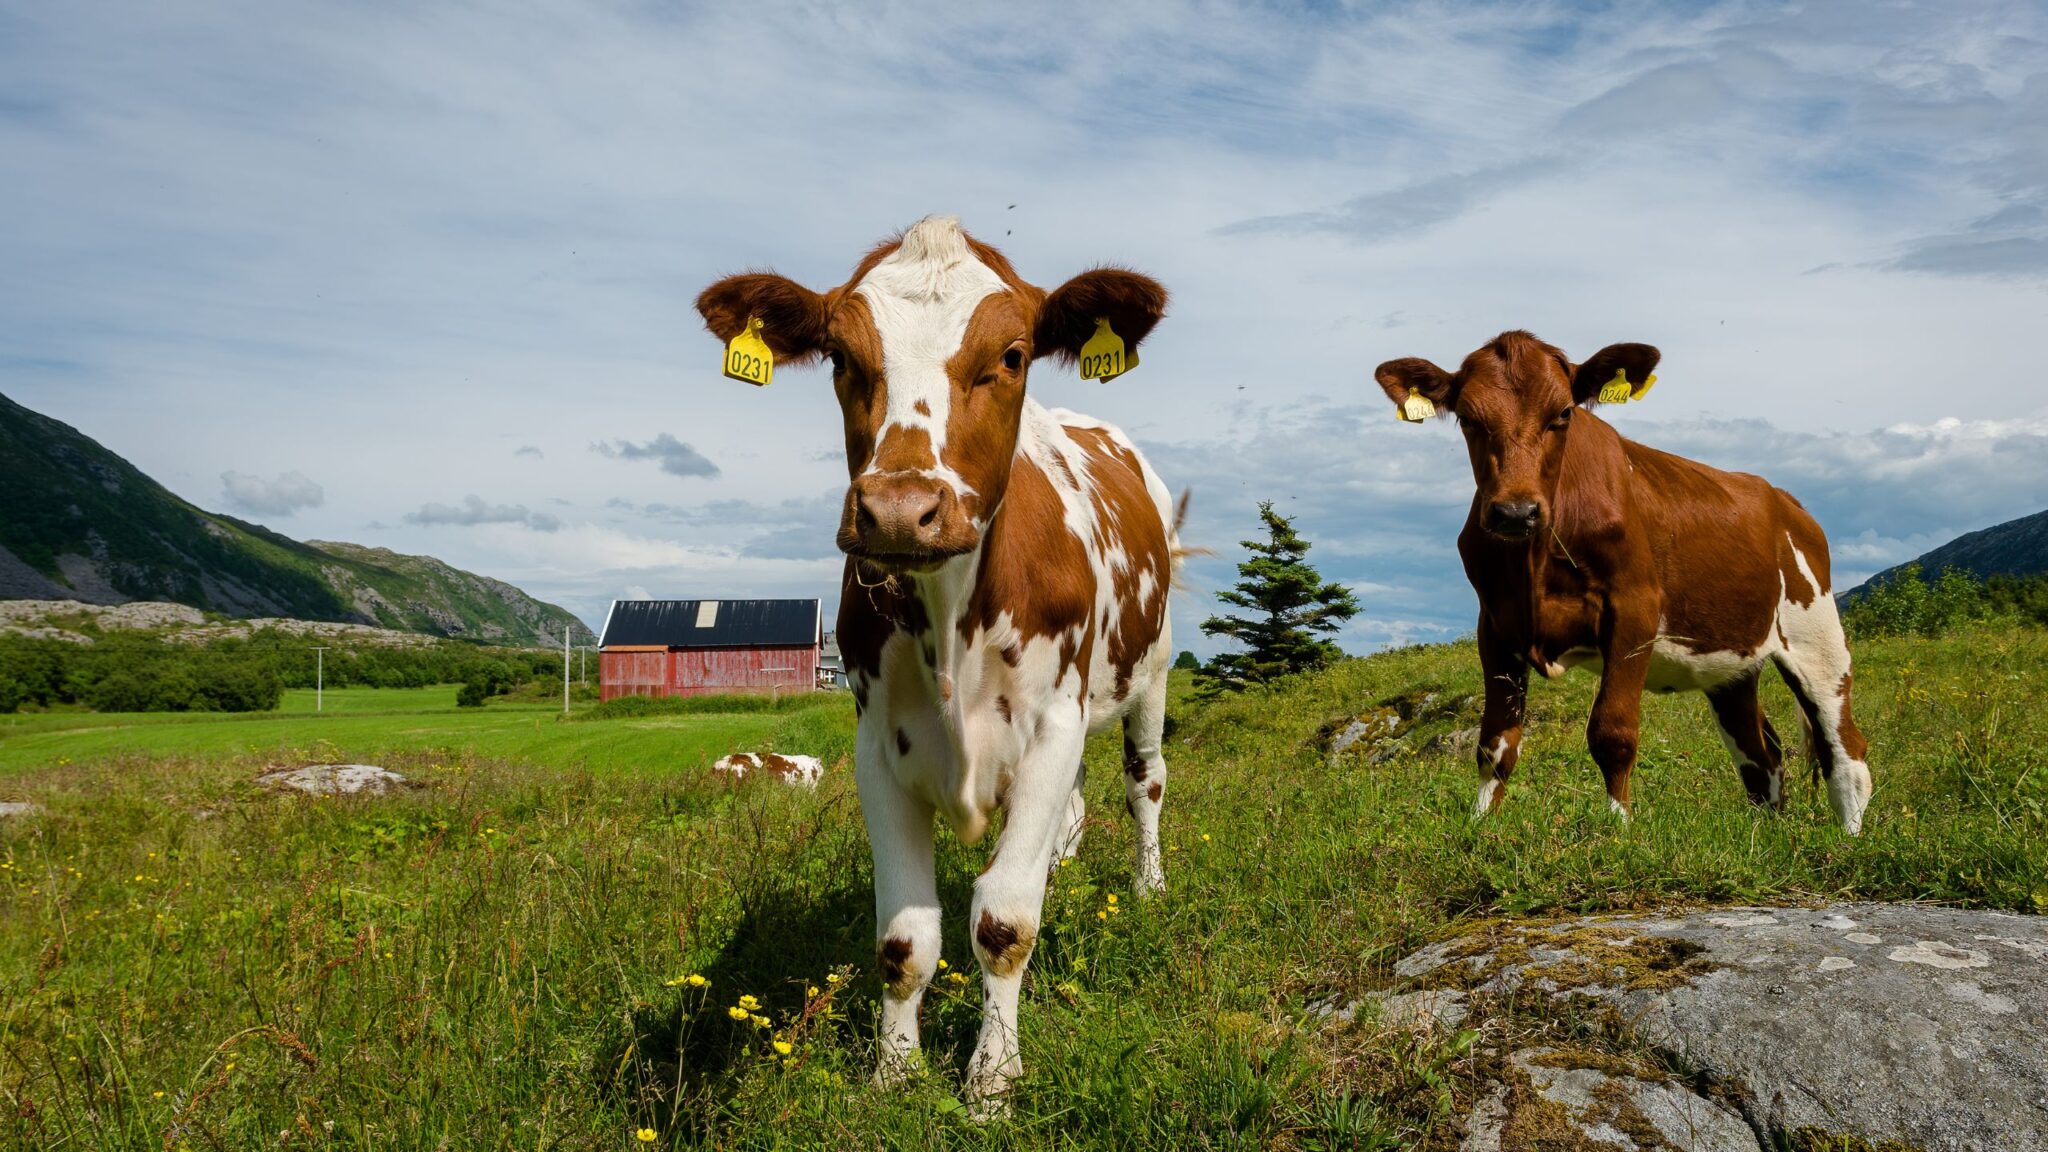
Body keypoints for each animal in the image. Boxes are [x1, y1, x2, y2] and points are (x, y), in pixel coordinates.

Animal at [695, 216, 1182, 1107]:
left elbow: (1005, 920)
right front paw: (894, 1071)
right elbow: (904, 934)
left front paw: (991, 1080)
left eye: (1013, 354)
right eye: (840, 355)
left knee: (1145, 783)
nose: (898, 510)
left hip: (1152, 670)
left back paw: (1148, 886)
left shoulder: (1053, 724)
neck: (953, 615)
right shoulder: (877, 746)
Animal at [1374, 331, 1873, 835]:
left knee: (1844, 747)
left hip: (1817, 635)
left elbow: (1612, 732)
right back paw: (1764, 834)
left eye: (1564, 413)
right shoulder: (1494, 624)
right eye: (1468, 418)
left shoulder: (1634, 609)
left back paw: (1848, 837)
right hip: (1732, 664)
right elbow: (1495, 742)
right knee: (1761, 756)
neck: (1534, 561)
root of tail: (1786, 501)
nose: (1515, 512)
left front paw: (1617, 831)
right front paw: (1481, 825)